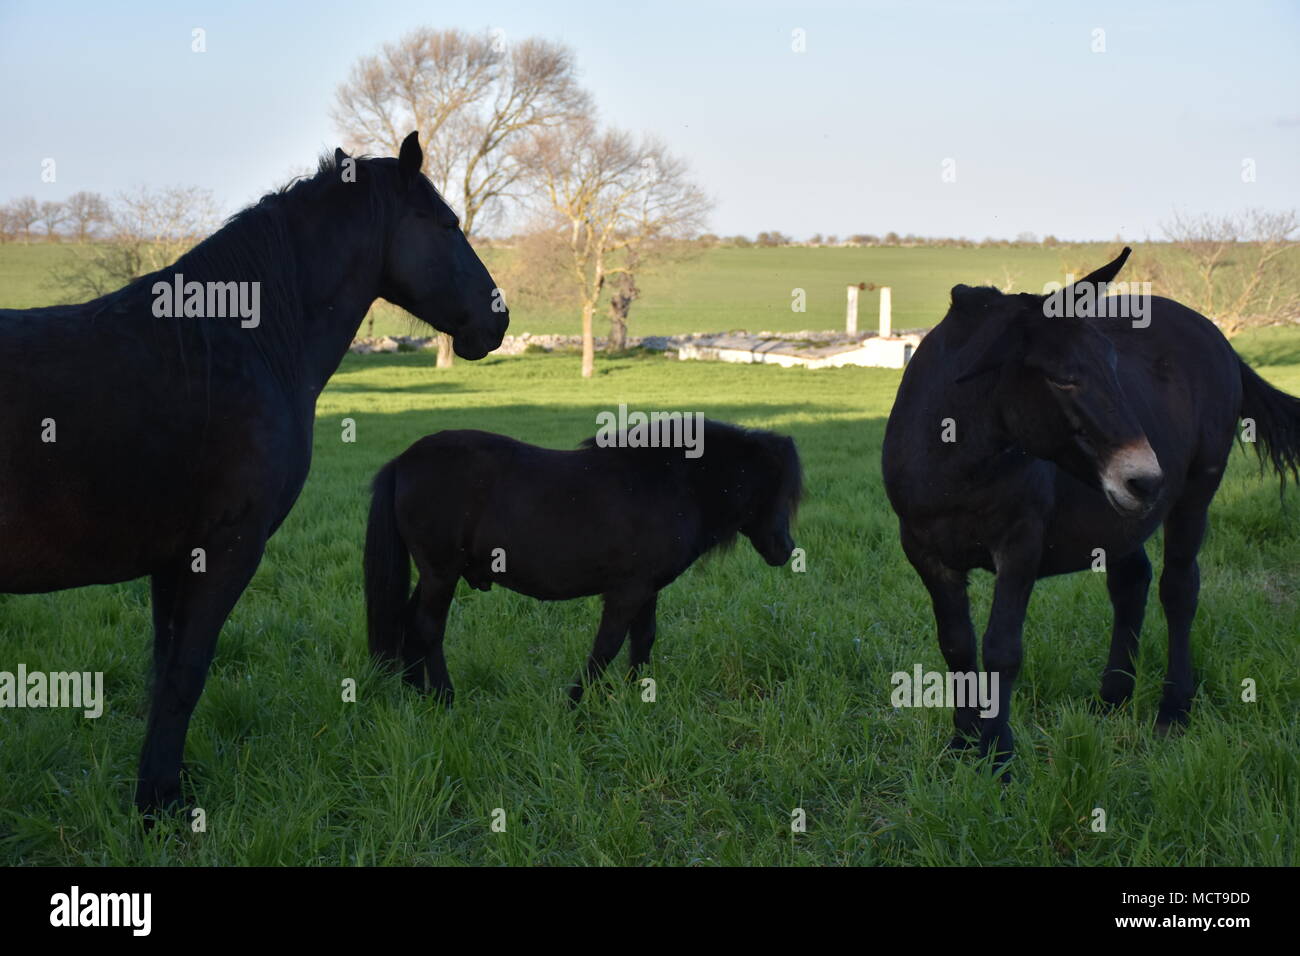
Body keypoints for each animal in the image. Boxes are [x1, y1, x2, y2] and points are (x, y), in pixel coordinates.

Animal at [0, 131, 508, 814]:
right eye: (447, 224)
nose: (499, 318)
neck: (231, 348)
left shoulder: (174, 559)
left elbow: (165, 670)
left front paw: (161, 785)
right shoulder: (227, 549)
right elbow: (187, 673)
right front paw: (160, 803)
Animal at [363, 421, 803, 703]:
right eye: (774, 490)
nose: (785, 549)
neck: (673, 484)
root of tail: (401, 462)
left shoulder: (647, 589)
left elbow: (643, 639)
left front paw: (637, 695)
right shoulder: (627, 591)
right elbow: (607, 645)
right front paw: (577, 702)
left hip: (434, 574)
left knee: (409, 622)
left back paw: (414, 692)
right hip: (441, 573)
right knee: (427, 628)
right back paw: (443, 699)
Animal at [881, 247, 1300, 777]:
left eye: (1115, 368)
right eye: (1062, 378)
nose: (1147, 480)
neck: (955, 463)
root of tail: (1213, 332)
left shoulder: (1020, 544)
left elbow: (1001, 649)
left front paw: (998, 759)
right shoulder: (924, 551)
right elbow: (956, 644)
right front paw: (961, 747)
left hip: (1196, 494)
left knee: (1179, 589)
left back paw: (1173, 711)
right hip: (1118, 522)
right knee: (1132, 582)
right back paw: (1113, 698)